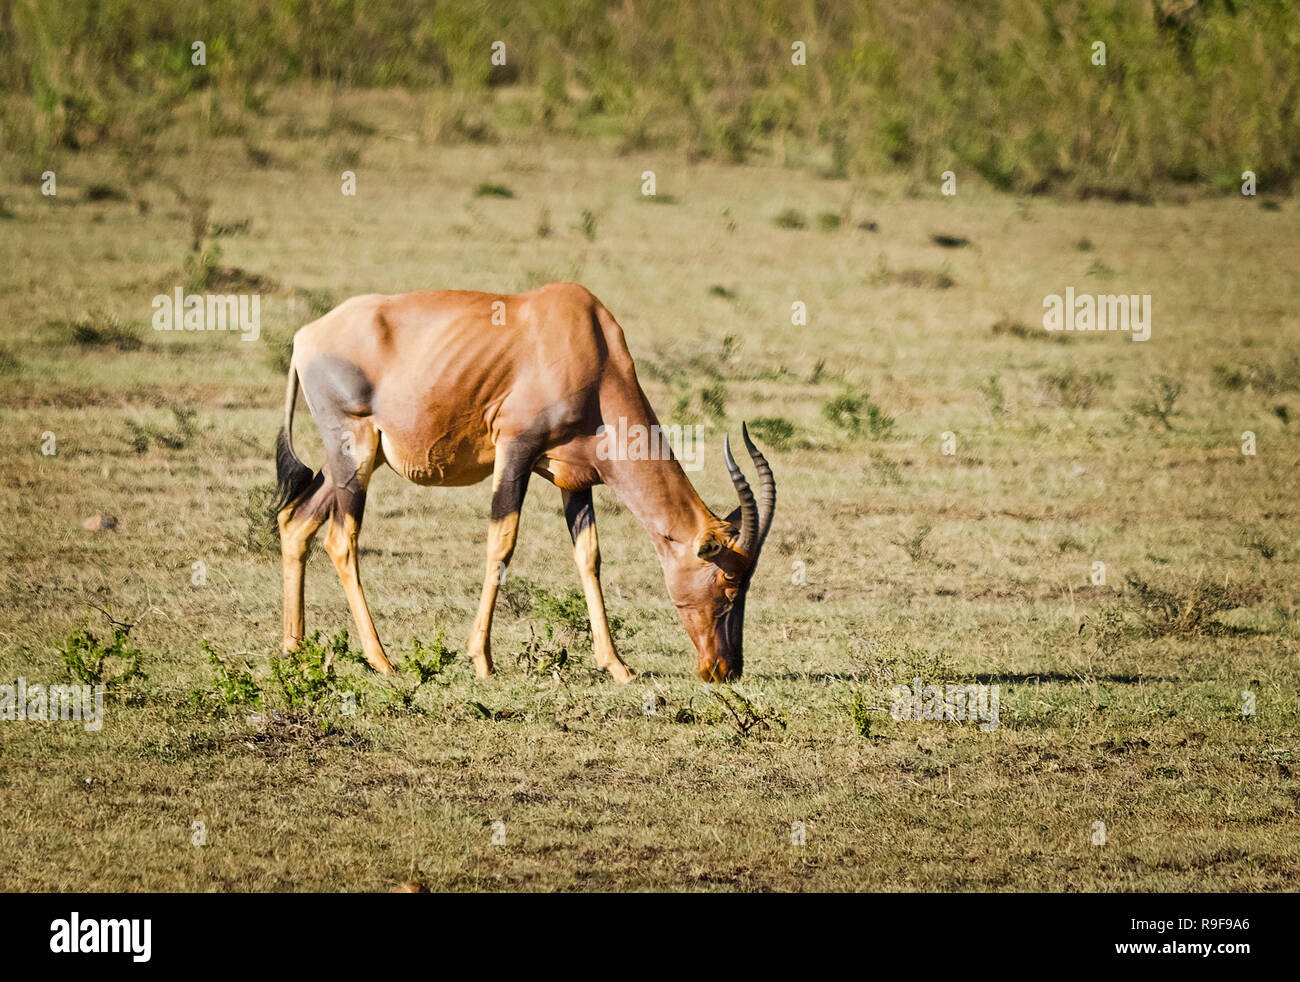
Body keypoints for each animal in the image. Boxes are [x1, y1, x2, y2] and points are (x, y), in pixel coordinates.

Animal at [273, 282, 775, 683]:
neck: (587, 342)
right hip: (353, 450)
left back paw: (295, 651)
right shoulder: (515, 449)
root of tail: (305, 337)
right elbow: (502, 543)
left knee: (295, 522)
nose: (724, 670)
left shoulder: (575, 479)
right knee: (341, 539)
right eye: (728, 584)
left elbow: (589, 557)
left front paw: (617, 667)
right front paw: (482, 661)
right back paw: (382, 660)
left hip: (356, 461)